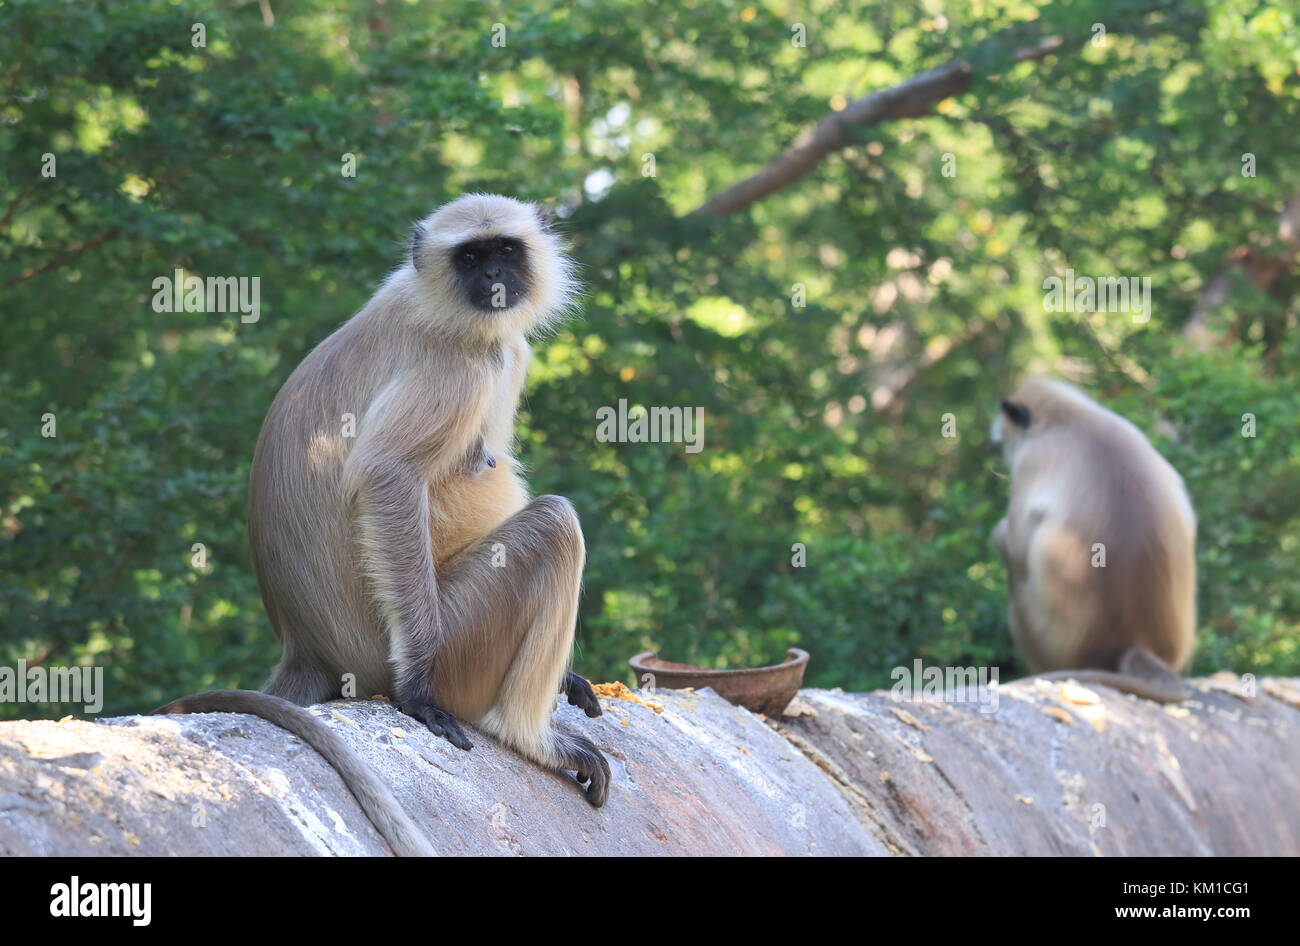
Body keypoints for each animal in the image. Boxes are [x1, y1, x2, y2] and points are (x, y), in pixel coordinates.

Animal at [155, 194, 608, 857]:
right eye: (469, 256)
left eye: (505, 250)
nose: (494, 278)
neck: (436, 302)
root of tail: (306, 646)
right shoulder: (459, 364)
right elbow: (387, 475)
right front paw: (417, 691)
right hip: (456, 639)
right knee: (555, 523)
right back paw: (527, 736)